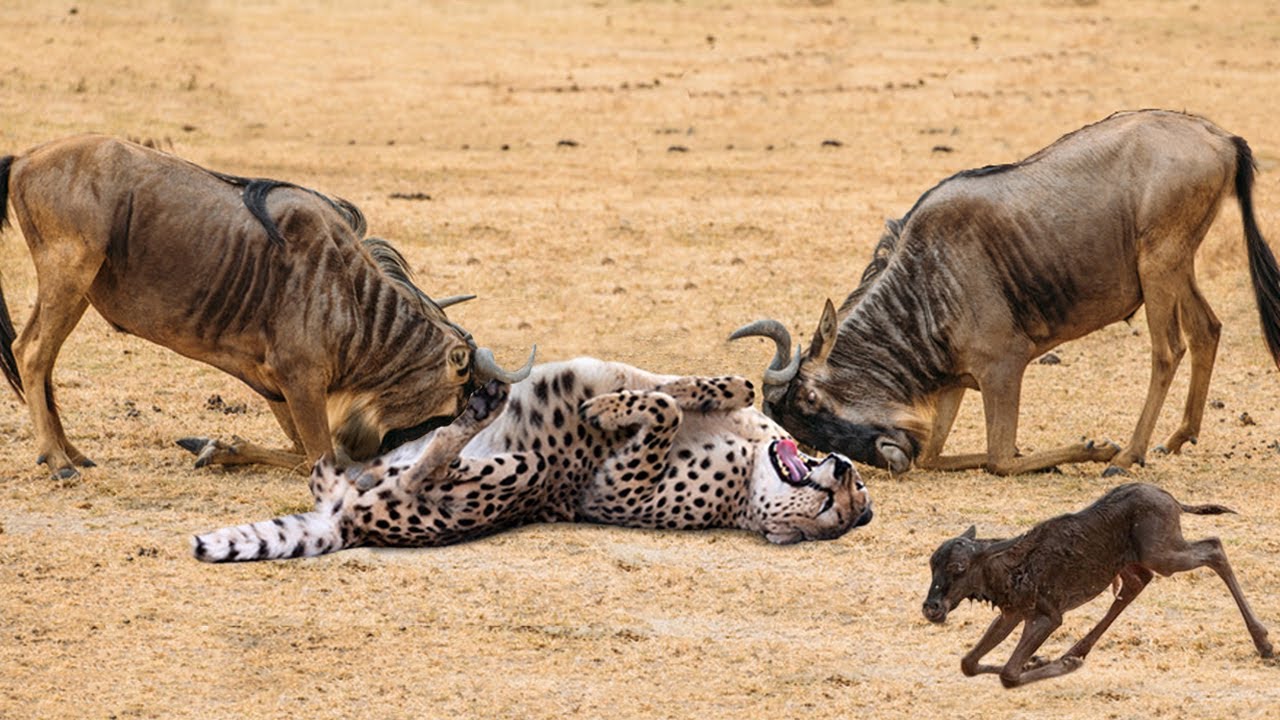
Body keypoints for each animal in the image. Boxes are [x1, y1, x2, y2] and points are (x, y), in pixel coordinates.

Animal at [192, 358, 873, 562]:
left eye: (831, 513)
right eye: (855, 497)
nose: (843, 471)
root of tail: (348, 523)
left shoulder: (613, 490)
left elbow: (657, 411)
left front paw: (602, 411)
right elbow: (712, 387)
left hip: (514, 478)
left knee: (421, 475)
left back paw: (479, 412)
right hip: (341, 479)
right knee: (324, 463)